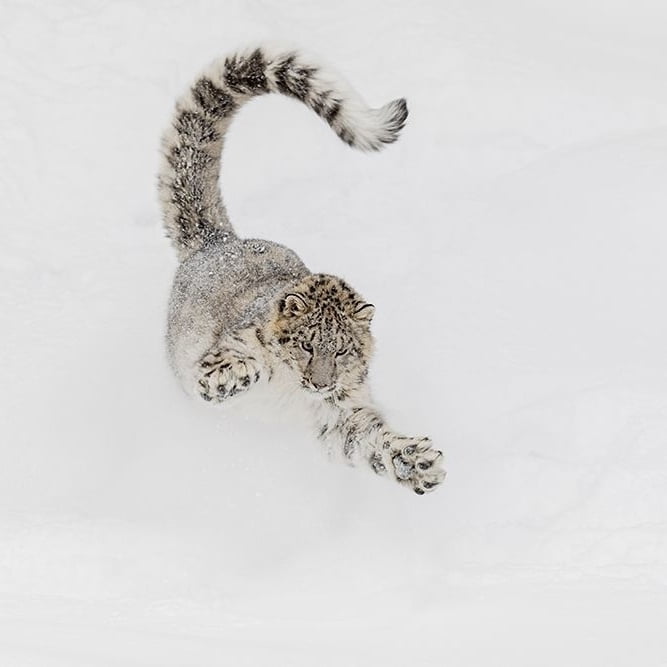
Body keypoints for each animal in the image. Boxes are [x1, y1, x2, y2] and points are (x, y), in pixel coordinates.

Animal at [158, 45, 445, 494]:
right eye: (307, 345)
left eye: (342, 350)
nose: (321, 383)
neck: (293, 393)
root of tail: (218, 242)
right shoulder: (217, 354)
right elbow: (224, 366)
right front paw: (235, 375)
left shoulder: (340, 414)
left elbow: (369, 440)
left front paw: (417, 463)